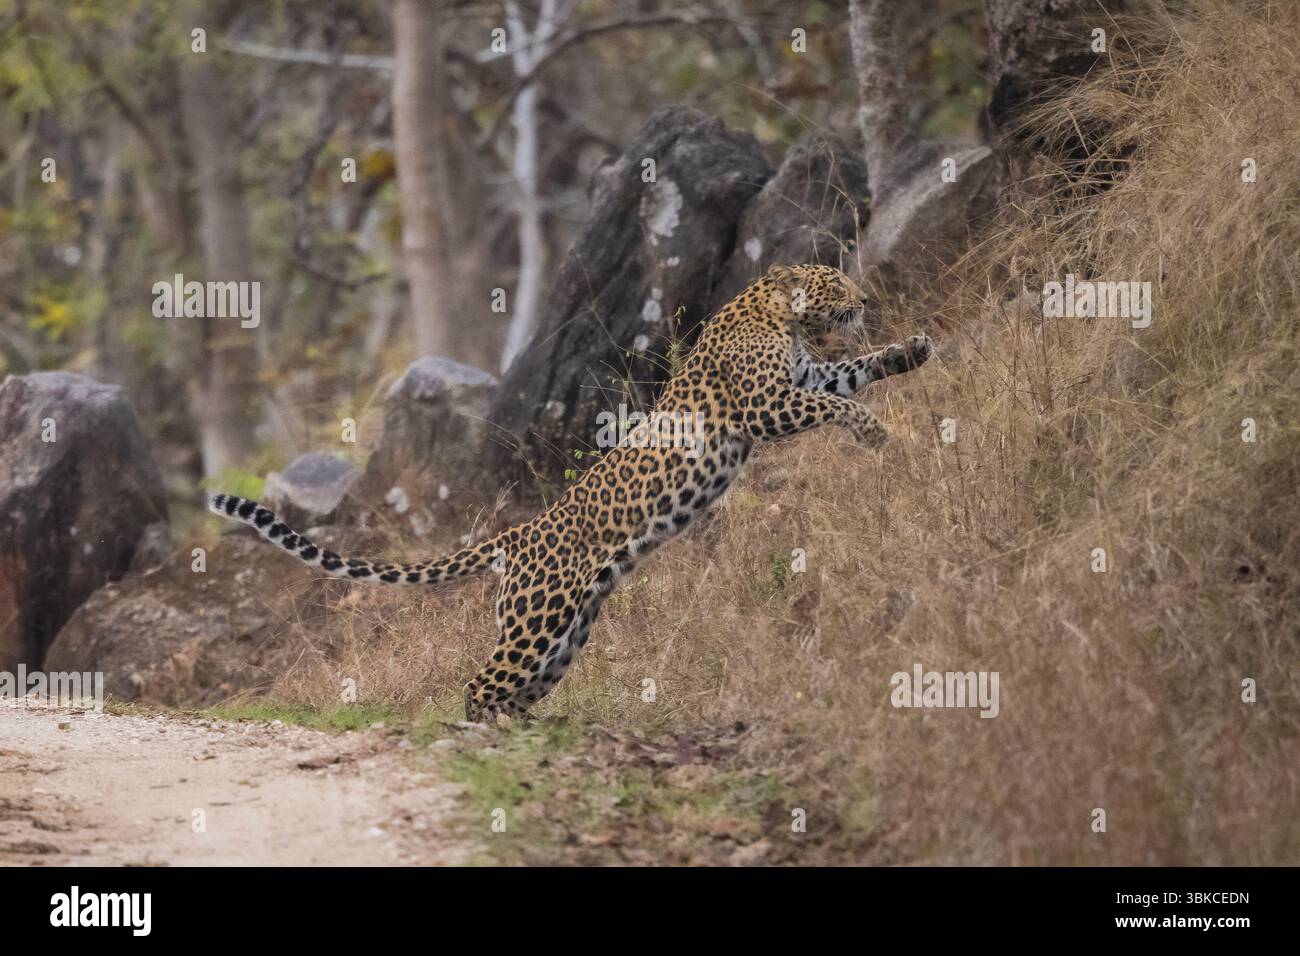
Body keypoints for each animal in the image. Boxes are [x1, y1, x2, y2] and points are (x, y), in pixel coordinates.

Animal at [209, 263, 934, 723]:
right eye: (835, 280)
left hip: (567, 630)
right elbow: (833, 403)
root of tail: (515, 535)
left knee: (514, 687)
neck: (777, 314)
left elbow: (851, 373)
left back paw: (525, 731)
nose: (865, 297)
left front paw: (912, 352)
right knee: (480, 683)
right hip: (538, 620)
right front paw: (873, 432)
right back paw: (487, 737)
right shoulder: (764, 404)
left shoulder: (807, 377)